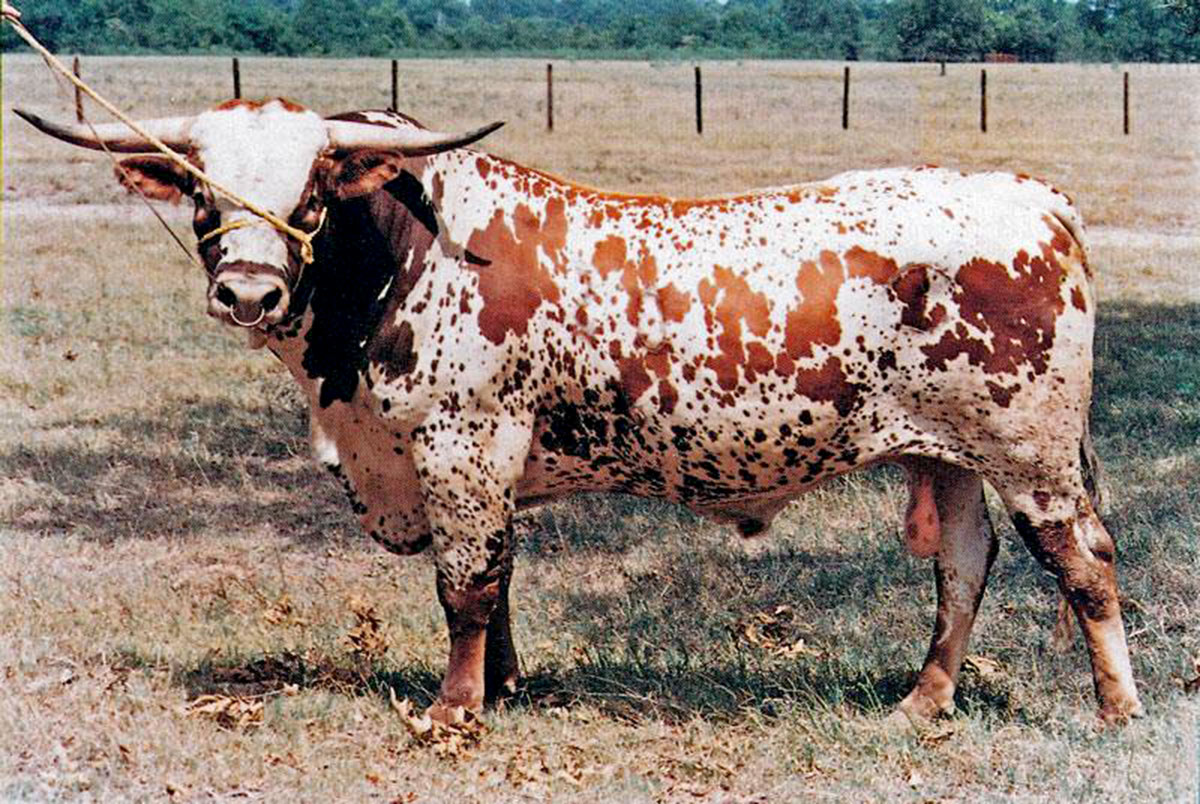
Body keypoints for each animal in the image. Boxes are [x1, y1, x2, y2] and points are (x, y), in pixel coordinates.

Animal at [16, 98, 1143, 725]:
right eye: (199, 190)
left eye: (312, 189)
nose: (247, 293)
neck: (400, 254)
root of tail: (1033, 195)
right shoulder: (473, 466)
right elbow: (500, 581)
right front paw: (506, 688)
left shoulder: (461, 445)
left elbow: (466, 585)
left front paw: (456, 710)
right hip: (949, 452)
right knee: (962, 564)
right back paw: (923, 700)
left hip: (1034, 453)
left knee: (1083, 566)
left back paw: (1116, 707)